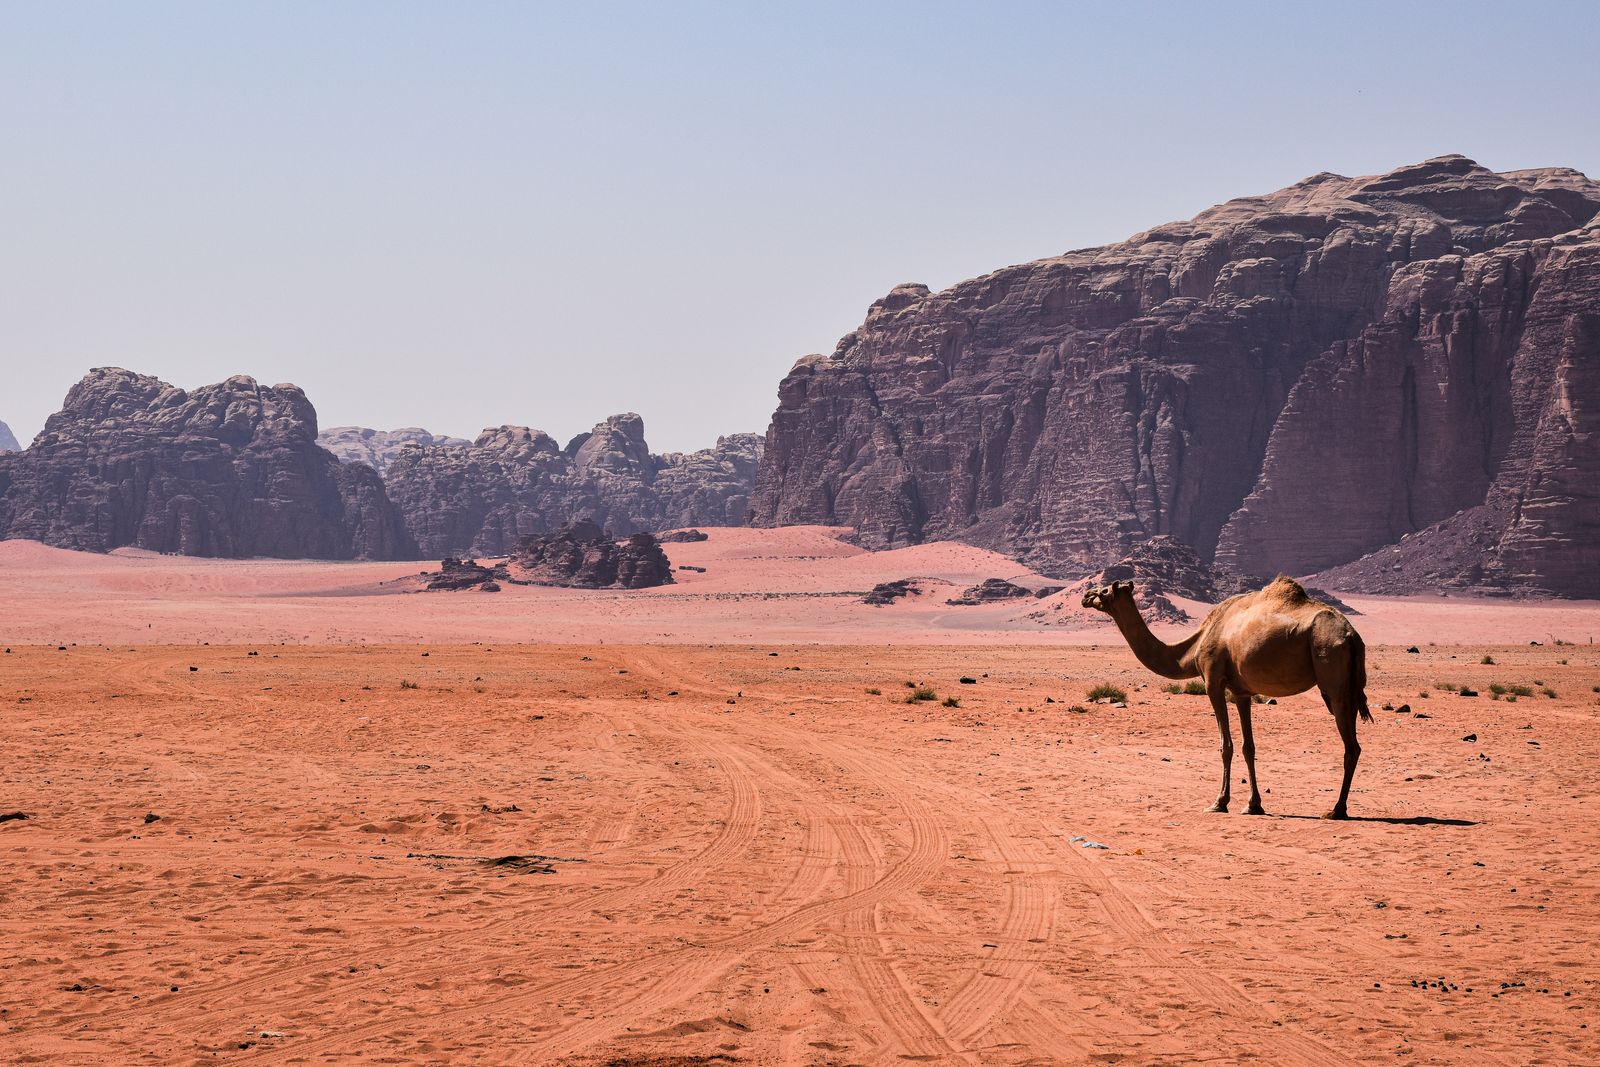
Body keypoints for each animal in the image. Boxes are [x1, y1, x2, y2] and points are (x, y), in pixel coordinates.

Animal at [1081, 577, 1371, 819]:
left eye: (1104, 590)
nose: (1085, 596)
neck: (1193, 647)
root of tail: (1352, 636)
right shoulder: (1241, 693)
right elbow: (1248, 747)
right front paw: (1253, 805)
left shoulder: (1213, 682)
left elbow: (1226, 746)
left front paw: (1219, 802)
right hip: (1348, 687)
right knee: (1353, 743)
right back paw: (1338, 807)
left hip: (1332, 673)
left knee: (1351, 746)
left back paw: (1336, 809)